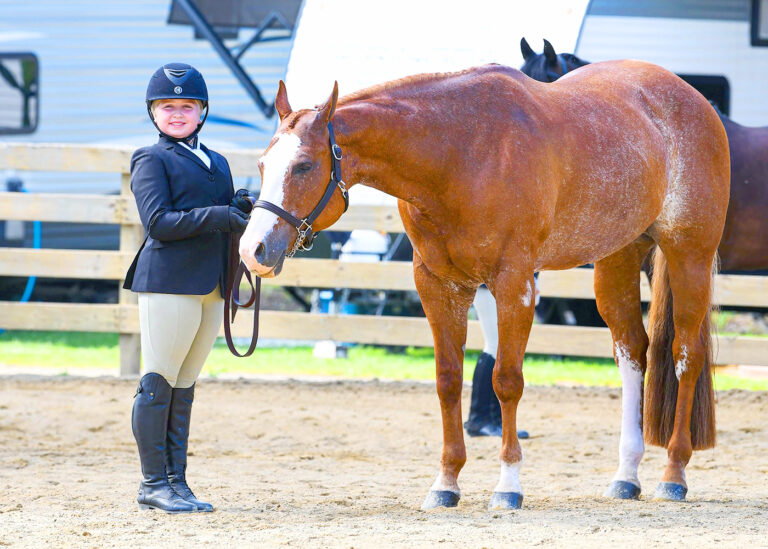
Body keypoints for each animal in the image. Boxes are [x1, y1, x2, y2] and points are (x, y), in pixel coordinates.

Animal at [239, 60, 729, 509]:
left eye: (303, 166)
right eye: (261, 164)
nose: (252, 250)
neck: (460, 152)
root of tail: (692, 98)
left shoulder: (514, 284)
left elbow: (506, 380)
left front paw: (508, 485)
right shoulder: (438, 285)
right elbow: (448, 379)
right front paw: (446, 483)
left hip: (689, 254)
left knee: (686, 355)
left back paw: (674, 473)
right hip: (617, 259)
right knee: (632, 353)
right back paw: (626, 476)